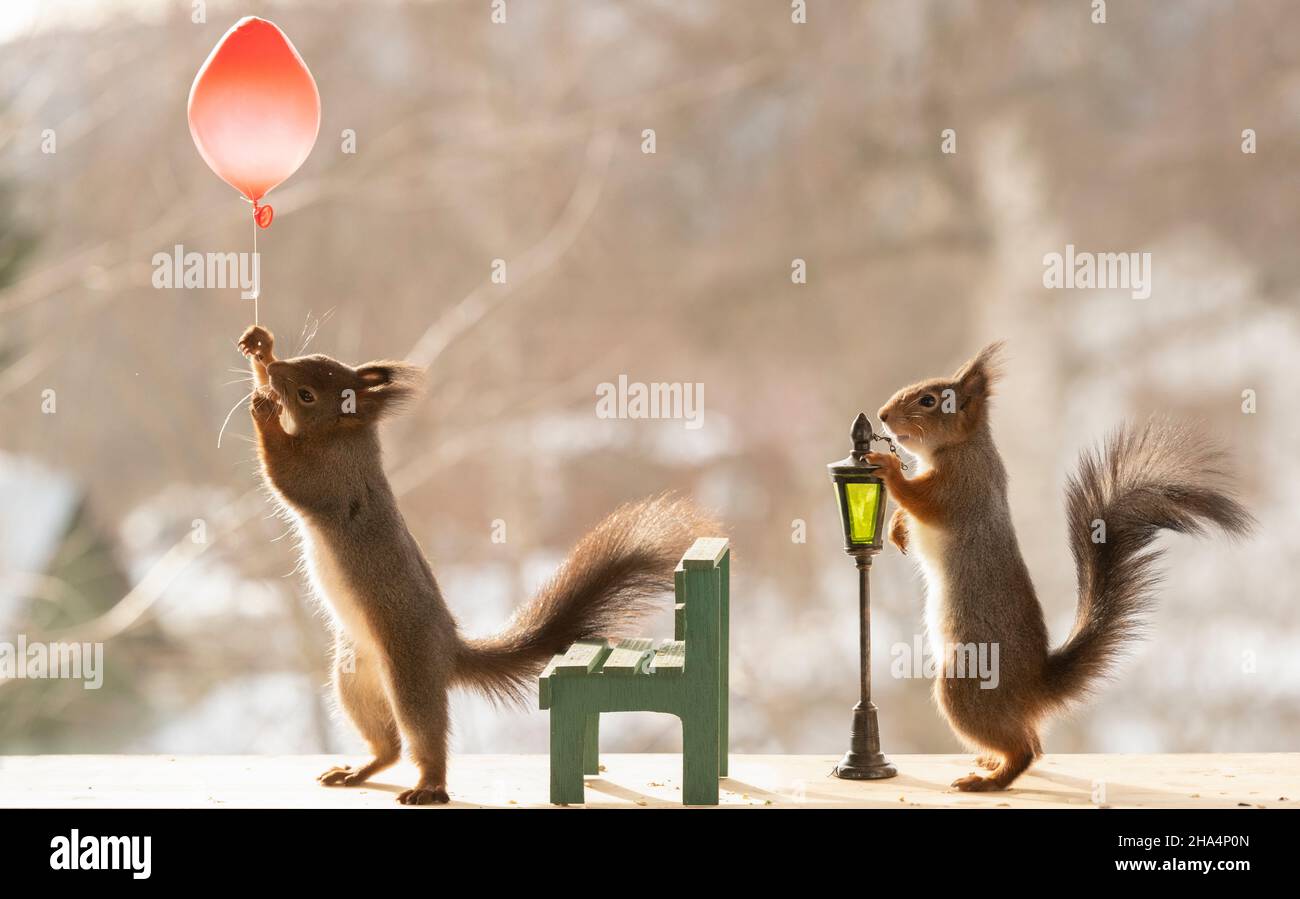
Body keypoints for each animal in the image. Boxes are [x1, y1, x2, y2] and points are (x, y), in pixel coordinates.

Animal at [236, 324, 714, 804]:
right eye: (309, 359)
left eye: (306, 395)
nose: (276, 373)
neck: (344, 438)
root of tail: (449, 650)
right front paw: (261, 348)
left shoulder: (327, 481)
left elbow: (284, 475)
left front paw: (264, 411)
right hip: (354, 679)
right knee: (388, 746)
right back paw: (359, 769)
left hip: (410, 676)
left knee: (425, 738)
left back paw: (429, 786)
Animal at [868, 342, 1253, 791]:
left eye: (929, 401)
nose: (882, 415)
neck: (962, 447)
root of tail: (1033, 686)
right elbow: (909, 513)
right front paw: (897, 529)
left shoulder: (961, 488)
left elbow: (921, 501)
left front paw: (889, 467)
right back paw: (989, 763)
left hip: (966, 683)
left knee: (1027, 749)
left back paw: (990, 780)